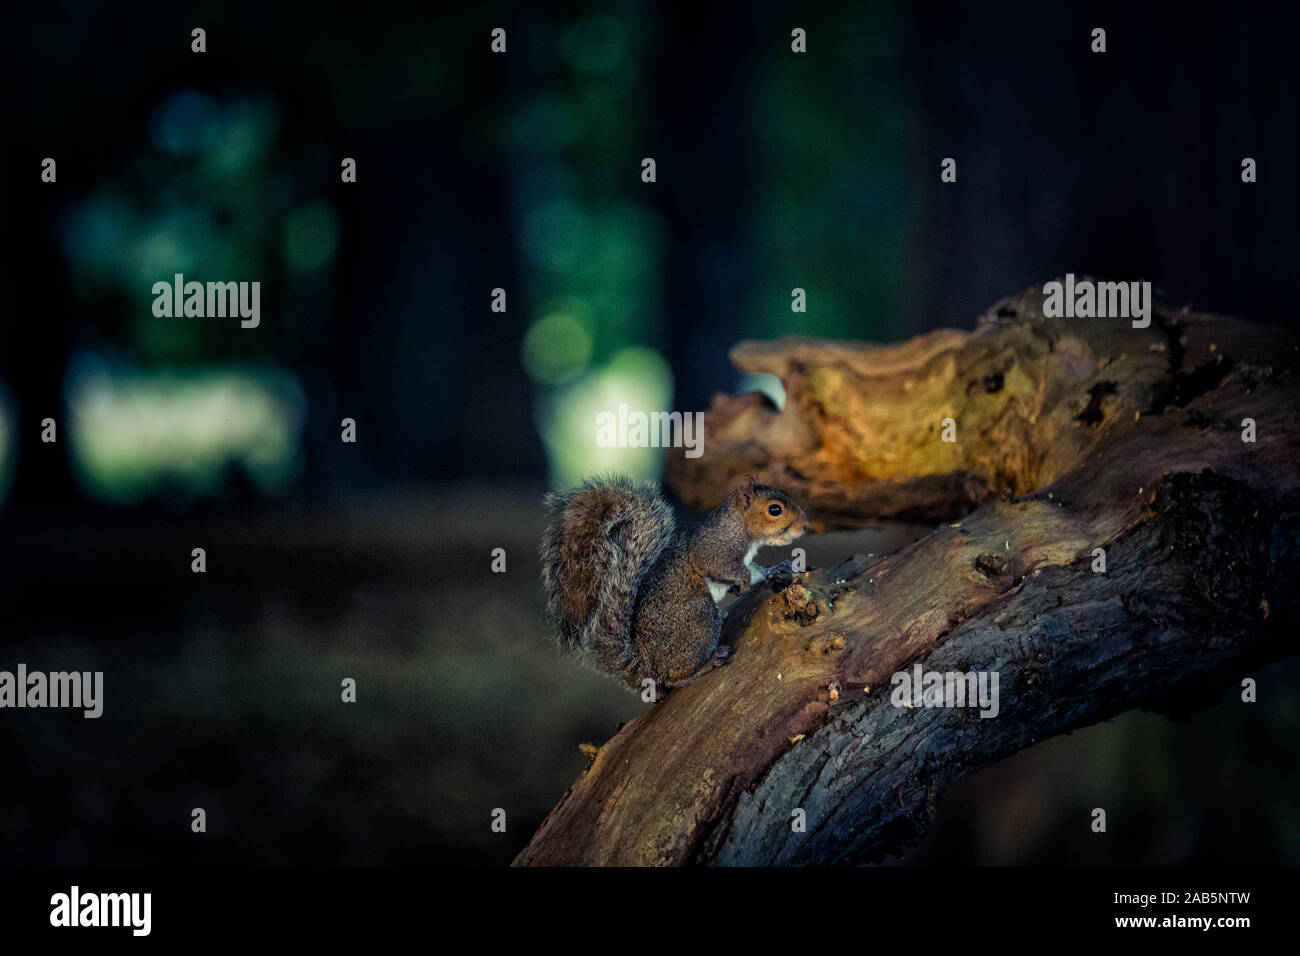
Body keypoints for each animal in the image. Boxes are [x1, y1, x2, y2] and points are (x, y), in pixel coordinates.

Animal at [539, 473, 811, 694]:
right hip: (699, 618)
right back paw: (705, 665)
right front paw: (742, 584)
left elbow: (754, 572)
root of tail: (647, 666)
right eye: (774, 510)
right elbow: (724, 567)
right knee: (672, 679)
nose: (806, 526)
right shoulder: (715, 549)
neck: (739, 526)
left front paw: (775, 569)